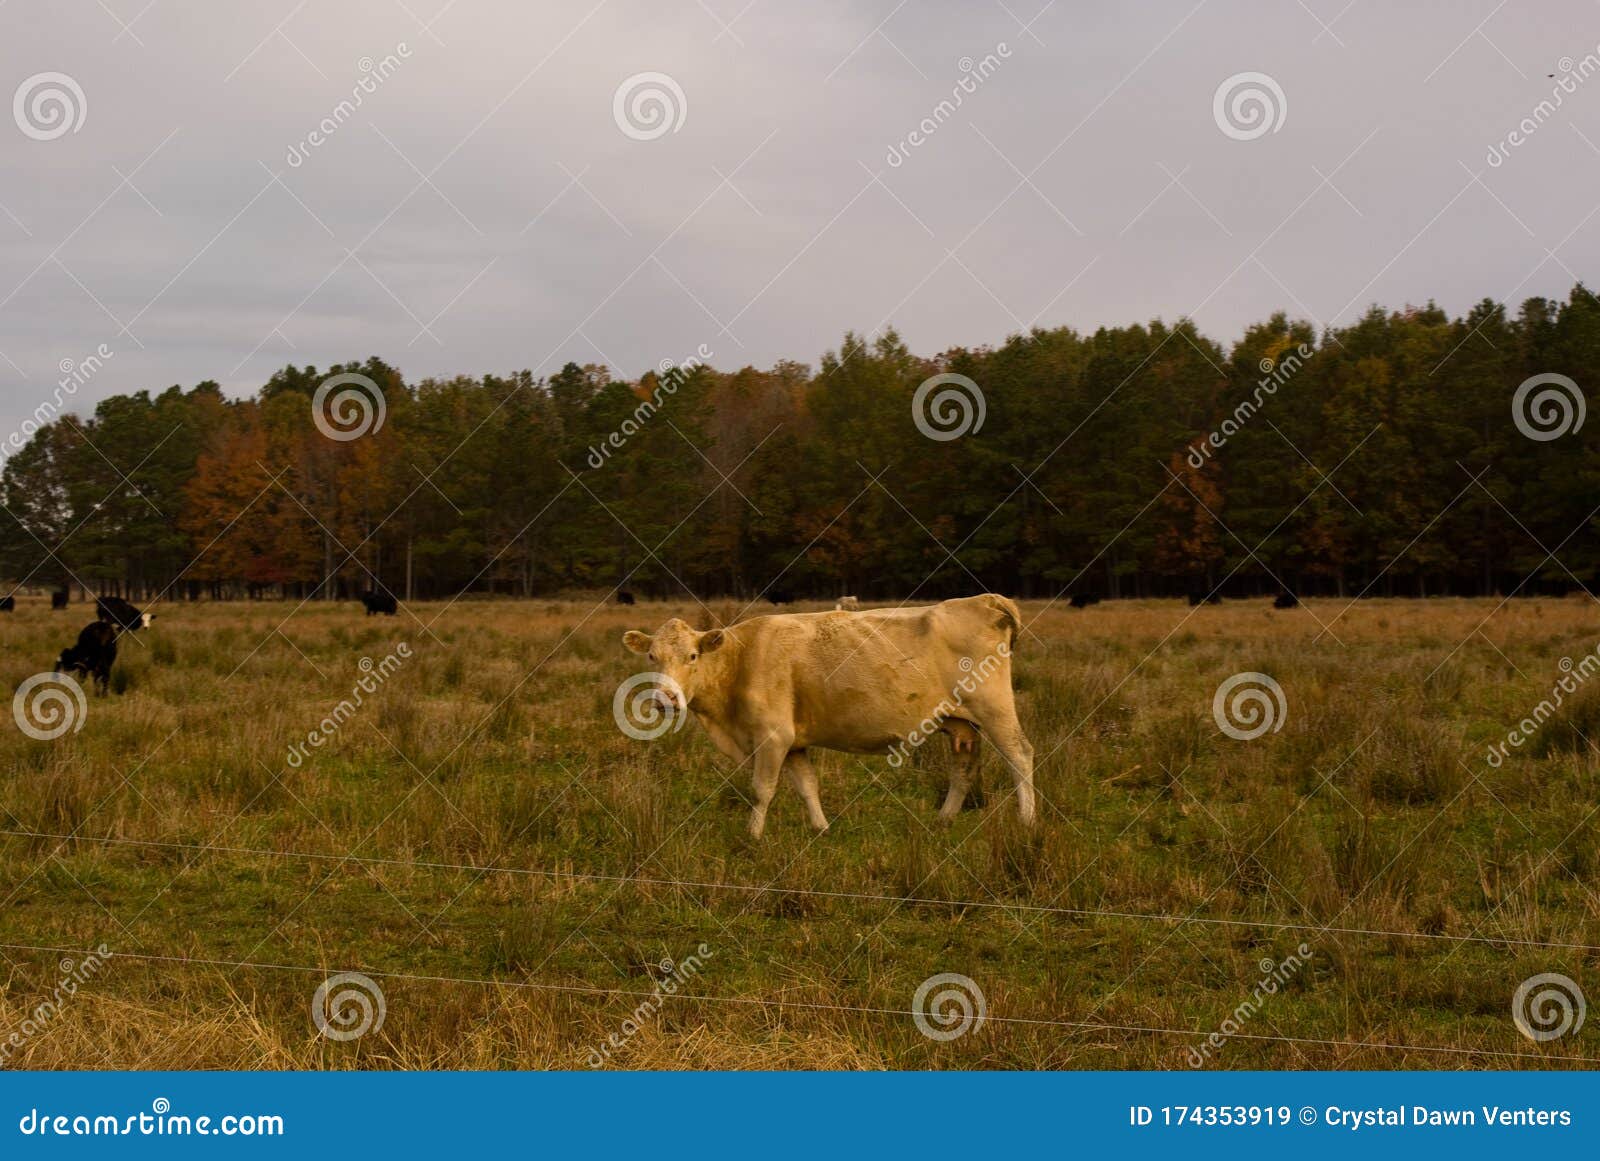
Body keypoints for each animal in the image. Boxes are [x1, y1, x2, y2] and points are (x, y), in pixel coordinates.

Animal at [622, 593, 1035, 838]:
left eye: (692, 656)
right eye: (652, 657)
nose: (666, 699)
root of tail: (982, 599)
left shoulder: (772, 736)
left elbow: (761, 789)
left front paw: (753, 836)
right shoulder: (793, 742)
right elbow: (807, 786)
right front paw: (821, 827)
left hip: (994, 708)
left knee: (1020, 756)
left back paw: (1027, 820)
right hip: (962, 722)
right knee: (963, 768)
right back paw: (944, 819)